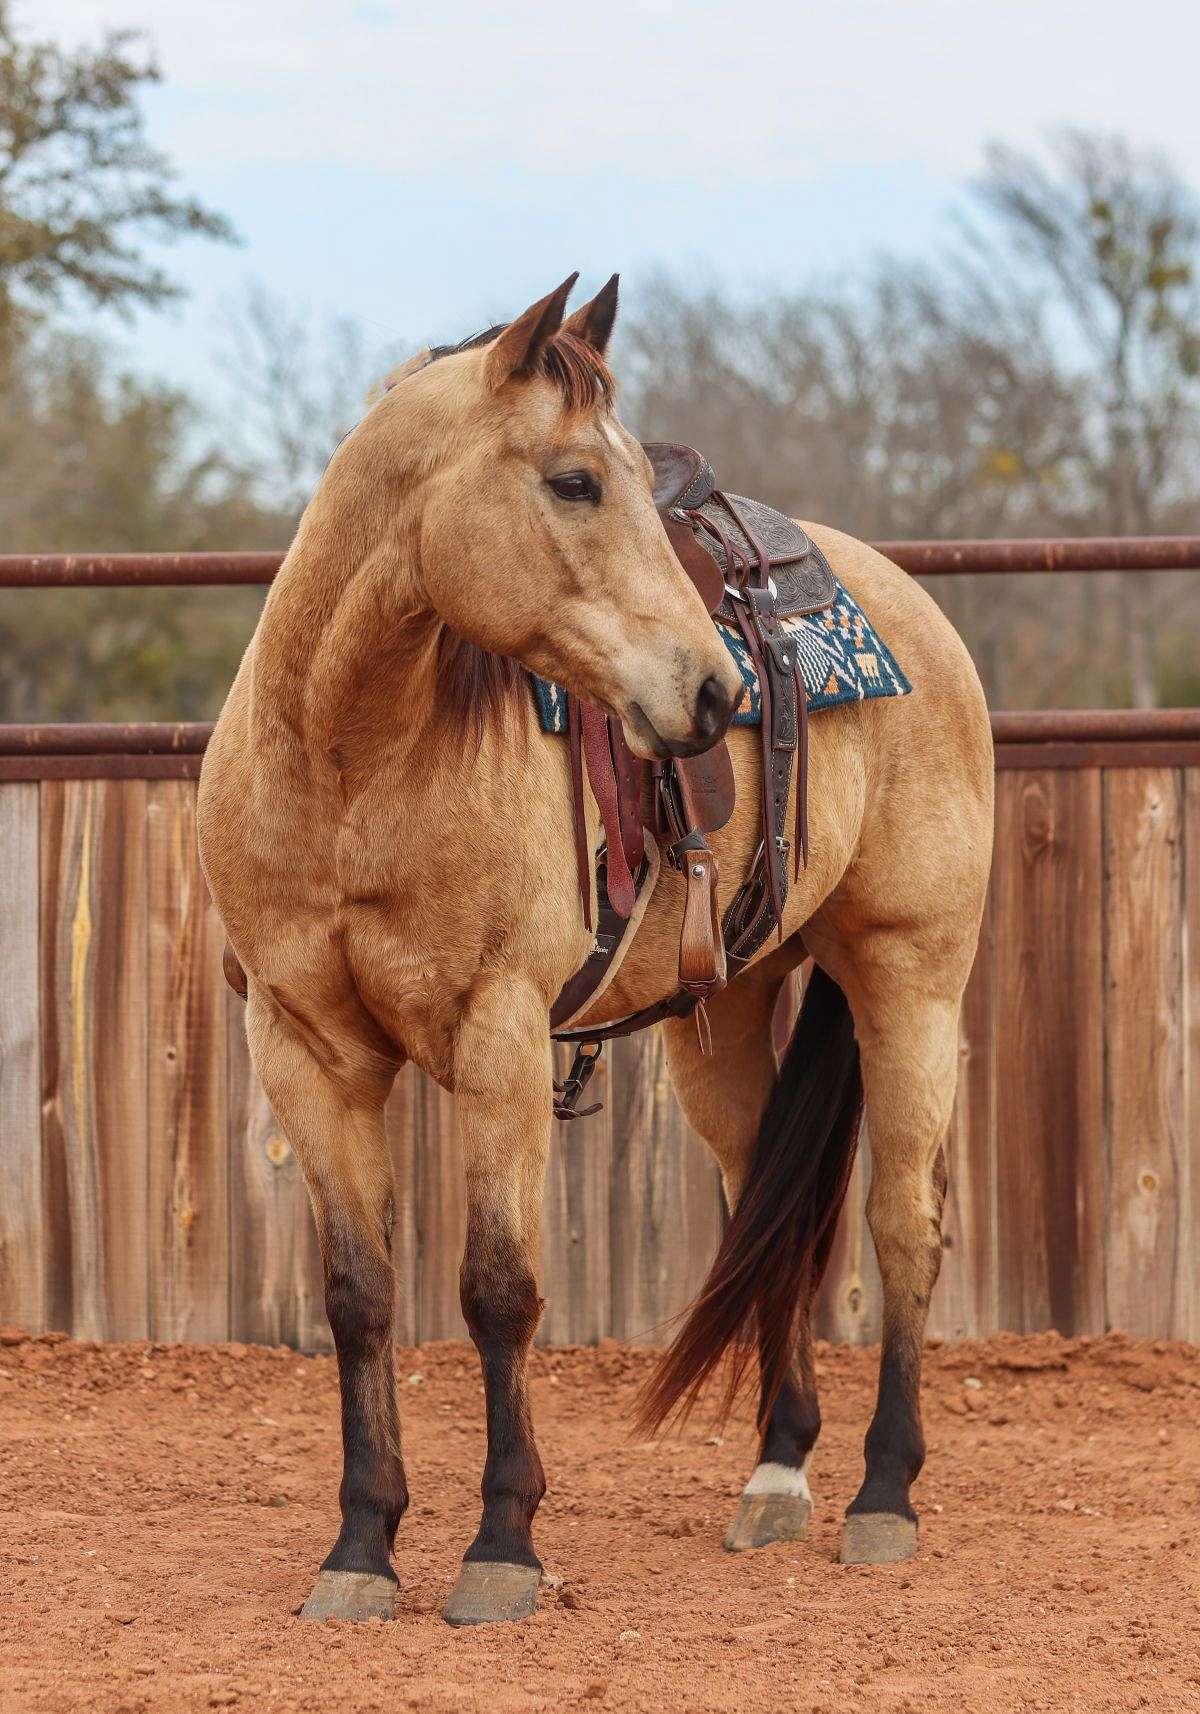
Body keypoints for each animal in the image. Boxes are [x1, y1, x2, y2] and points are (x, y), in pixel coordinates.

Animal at [196, 273, 993, 1628]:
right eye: (572, 481)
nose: (713, 692)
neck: (347, 764)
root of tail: (916, 611)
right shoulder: (304, 1045)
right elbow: (359, 1297)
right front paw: (359, 1547)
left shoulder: (501, 1036)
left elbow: (498, 1288)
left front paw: (501, 1545)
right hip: (728, 1022)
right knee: (771, 1215)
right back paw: (778, 1473)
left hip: (912, 980)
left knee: (904, 1222)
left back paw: (885, 1493)